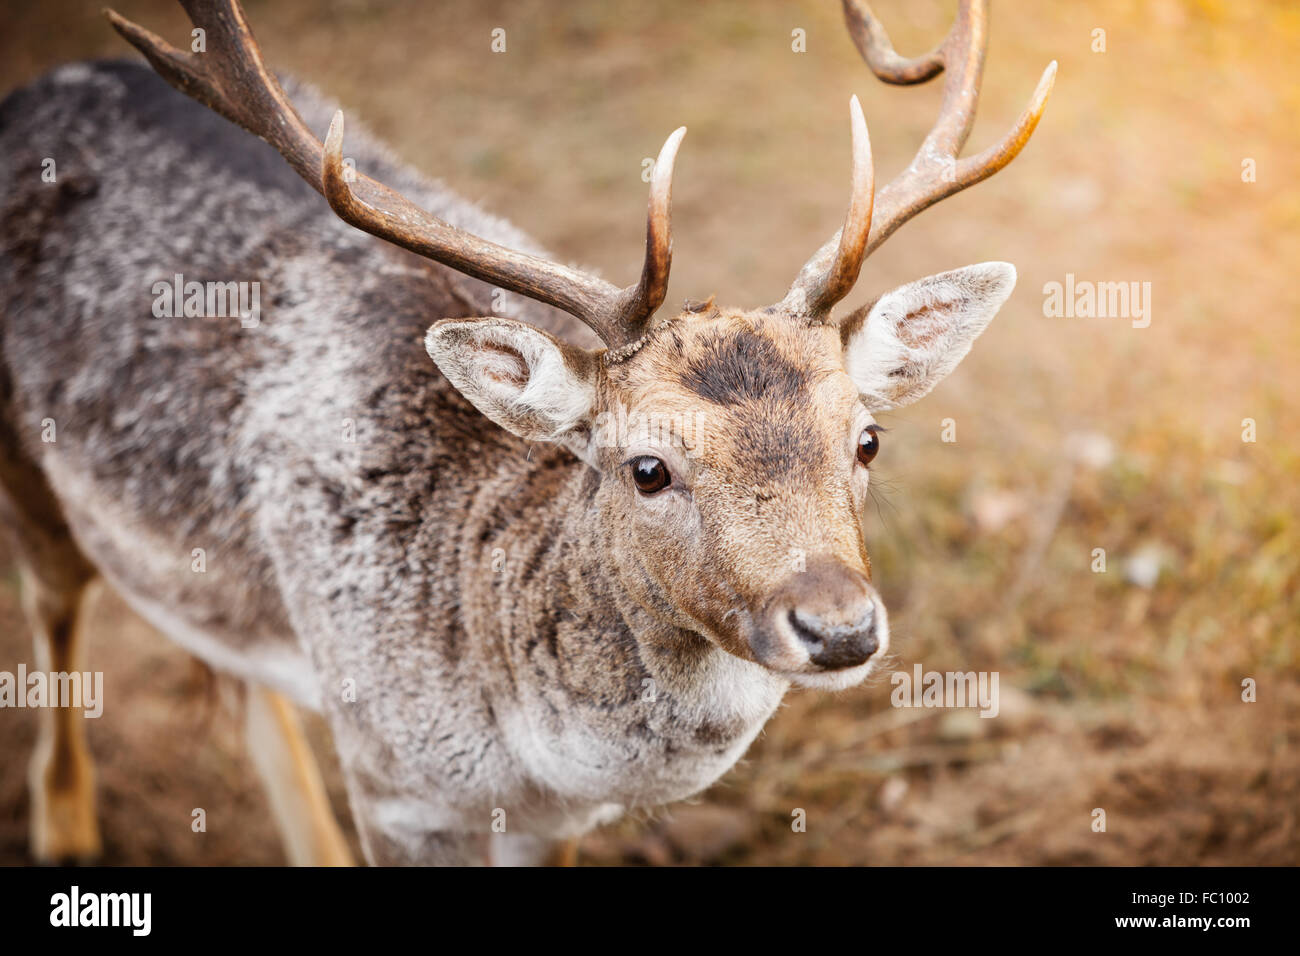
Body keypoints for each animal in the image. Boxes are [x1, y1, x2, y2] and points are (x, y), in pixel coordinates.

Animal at [0, 0, 1053, 865]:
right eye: (647, 468)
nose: (838, 628)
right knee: (55, 618)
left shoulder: (540, 825)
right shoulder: (393, 787)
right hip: (32, 480)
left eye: (867, 440)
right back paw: (66, 831)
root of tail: (38, 86)